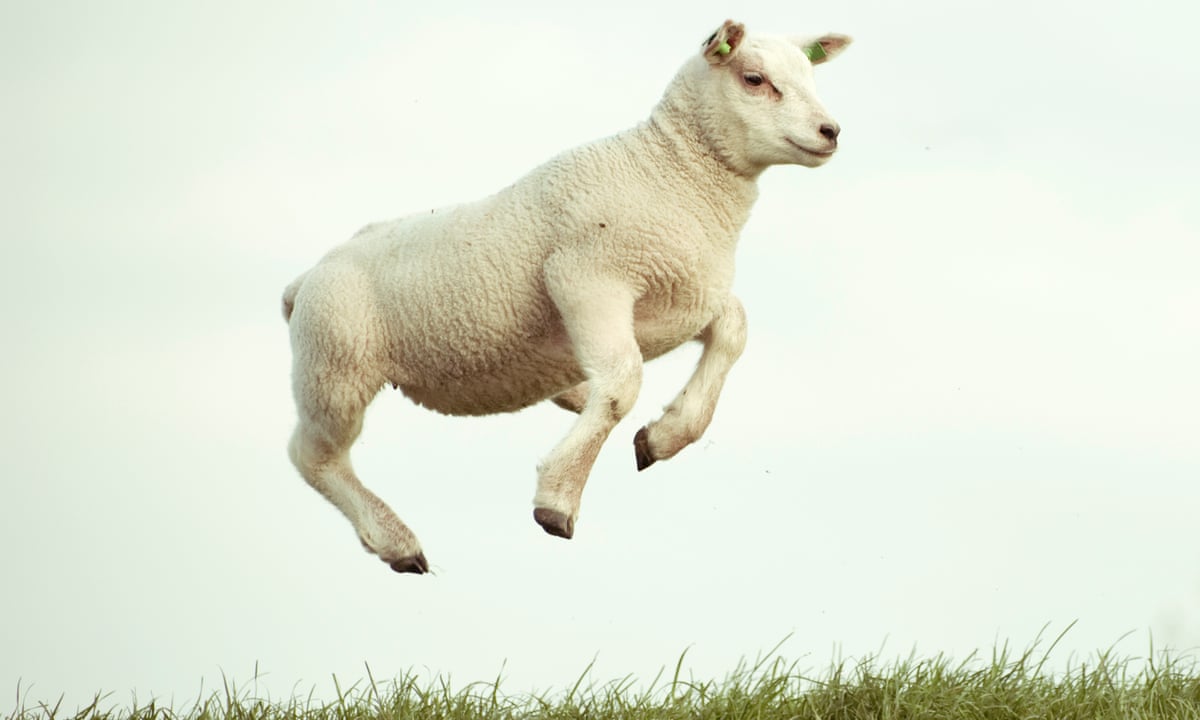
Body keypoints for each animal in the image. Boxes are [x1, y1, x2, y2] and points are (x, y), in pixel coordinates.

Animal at [282, 20, 852, 574]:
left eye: (810, 75)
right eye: (755, 79)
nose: (831, 132)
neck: (672, 174)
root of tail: (307, 276)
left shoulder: (685, 294)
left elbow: (733, 331)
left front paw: (664, 436)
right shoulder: (585, 275)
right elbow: (623, 384)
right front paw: (557, 501)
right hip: (336, 364)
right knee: (314, 456)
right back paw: (396, 542)